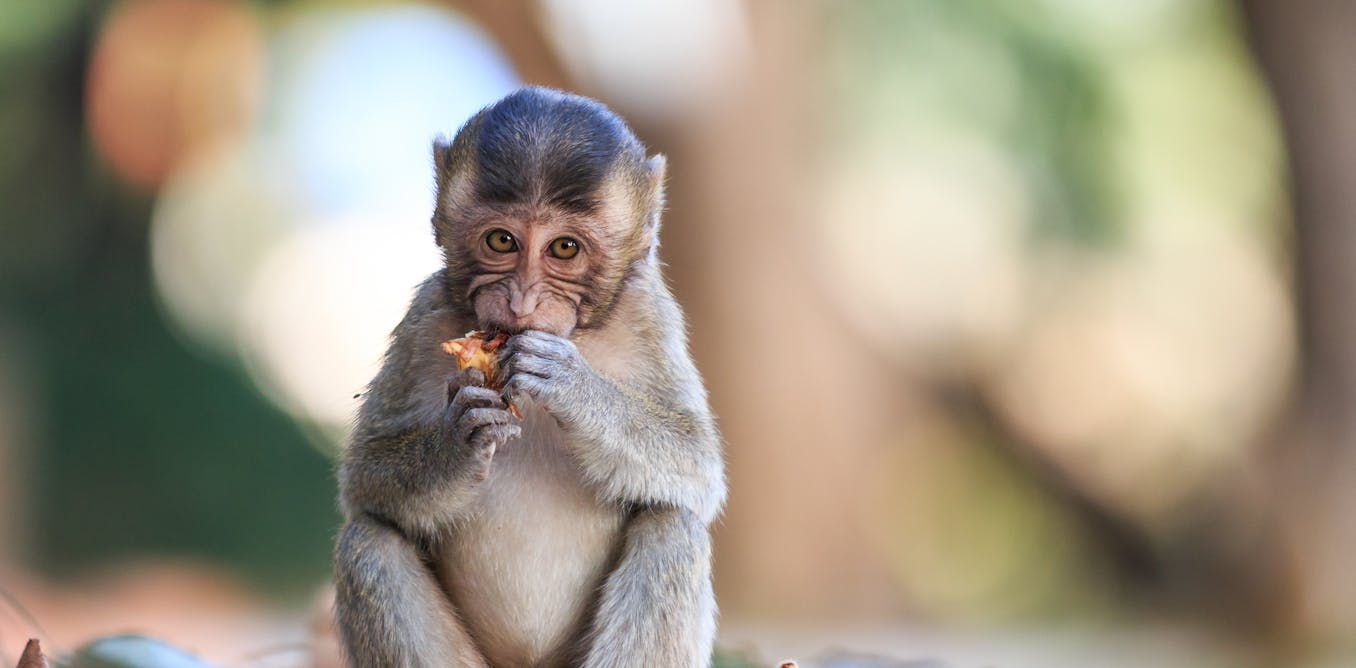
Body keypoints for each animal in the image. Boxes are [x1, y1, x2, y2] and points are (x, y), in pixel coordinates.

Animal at [332, 87, 726, 668]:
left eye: (564, 248)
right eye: (502, 241)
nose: (520, 302)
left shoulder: (650, 315)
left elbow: (699, 468)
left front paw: (572, 386)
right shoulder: (426, 315)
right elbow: (364, 479)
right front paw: (457, 441)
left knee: (672, 528)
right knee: (368, 543)